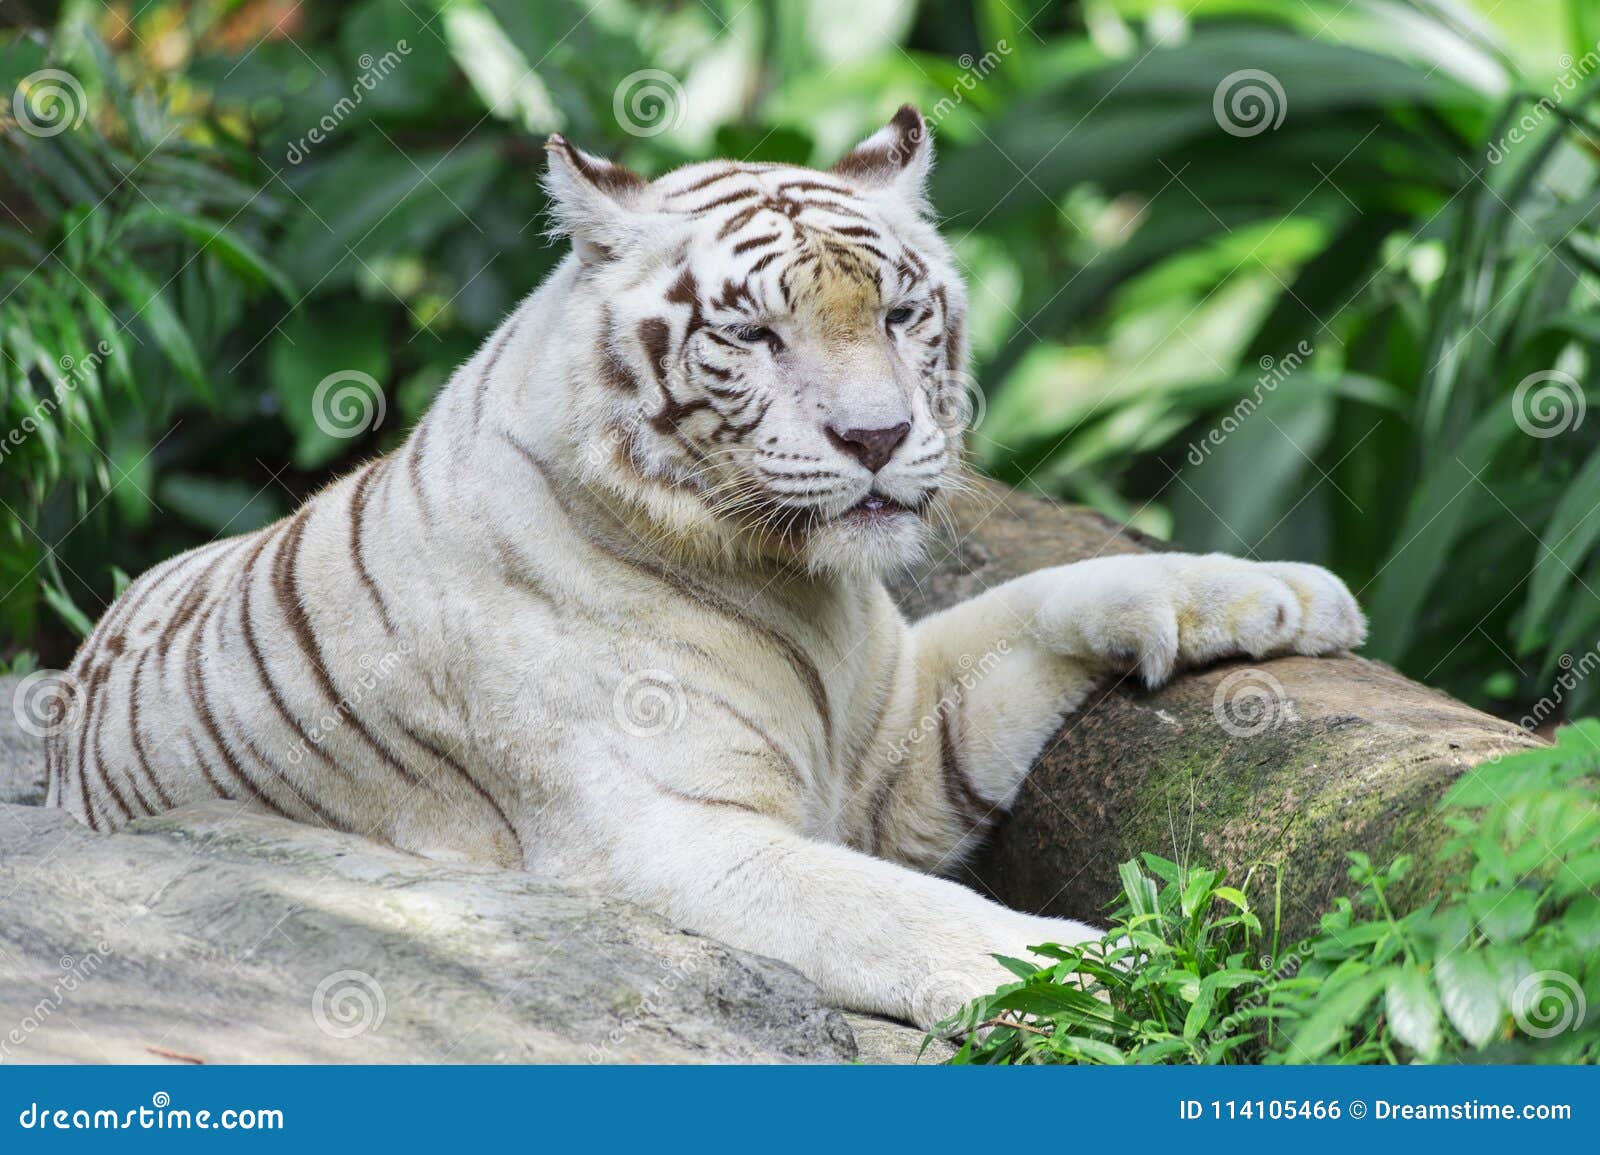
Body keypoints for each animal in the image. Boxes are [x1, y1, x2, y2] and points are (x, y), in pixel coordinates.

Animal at [46, 106, 1365, 1033]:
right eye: (751, 333)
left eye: (899, 313)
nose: (877, 436)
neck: (795, 581)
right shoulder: (667, 837)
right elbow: (899, 910)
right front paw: (1125, 969)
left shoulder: (891, 749)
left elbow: (1042, 596)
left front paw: (1280, 595)